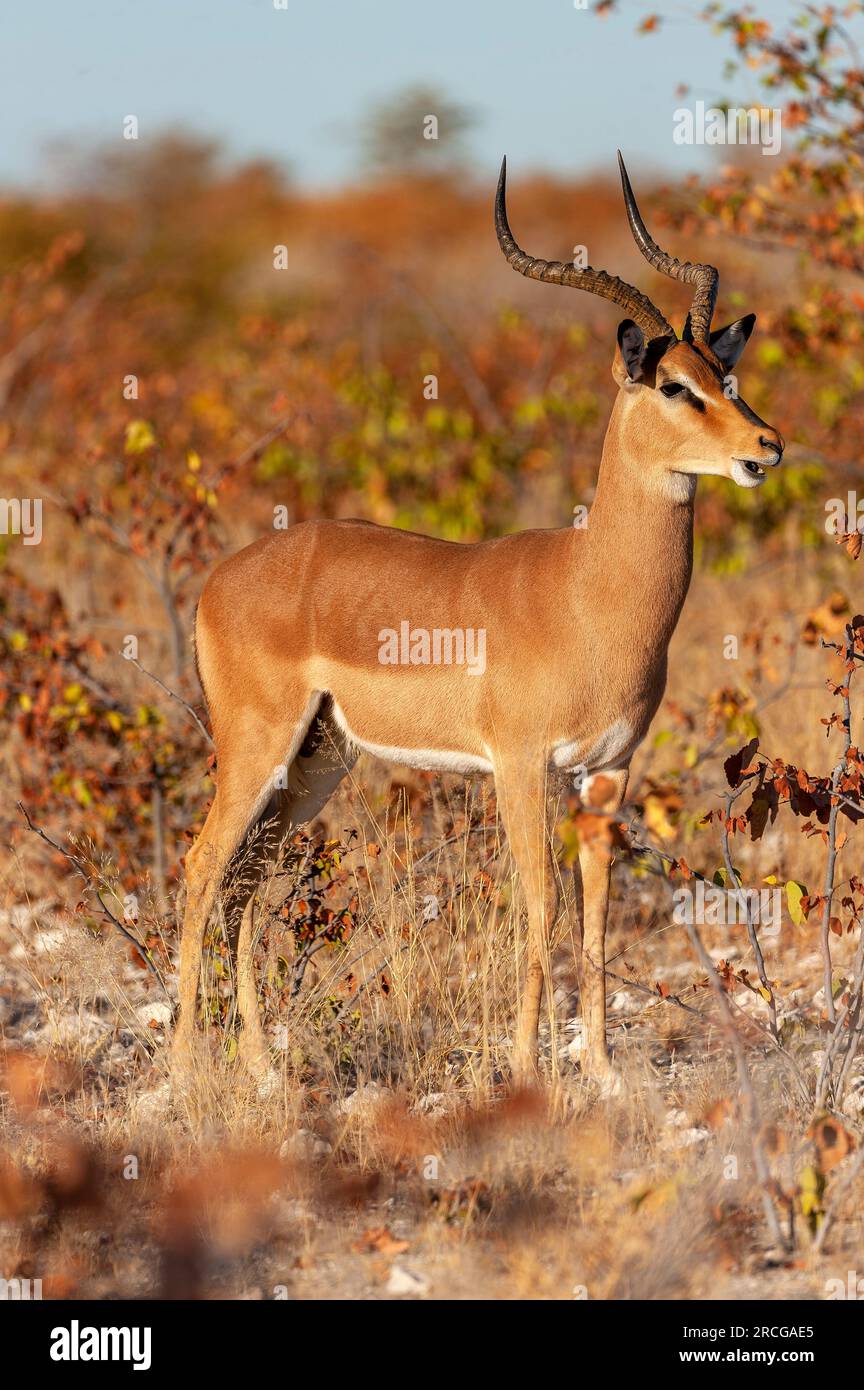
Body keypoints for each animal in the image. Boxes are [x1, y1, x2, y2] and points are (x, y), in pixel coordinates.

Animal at [171, 153, 783, 1085]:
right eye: (676, 387)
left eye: (727, 378)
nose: (766, 447)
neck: (589, 592)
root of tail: (220, 577)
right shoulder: (521, 767)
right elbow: (541, 907)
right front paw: (529, 1071)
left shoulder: (607, 773)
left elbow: (596, 915)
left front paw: (602, 1071)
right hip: (257, 747)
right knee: (203, 867)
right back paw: (178, 1072)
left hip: (315, 762)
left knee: (247, 877)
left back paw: (261, 1064)